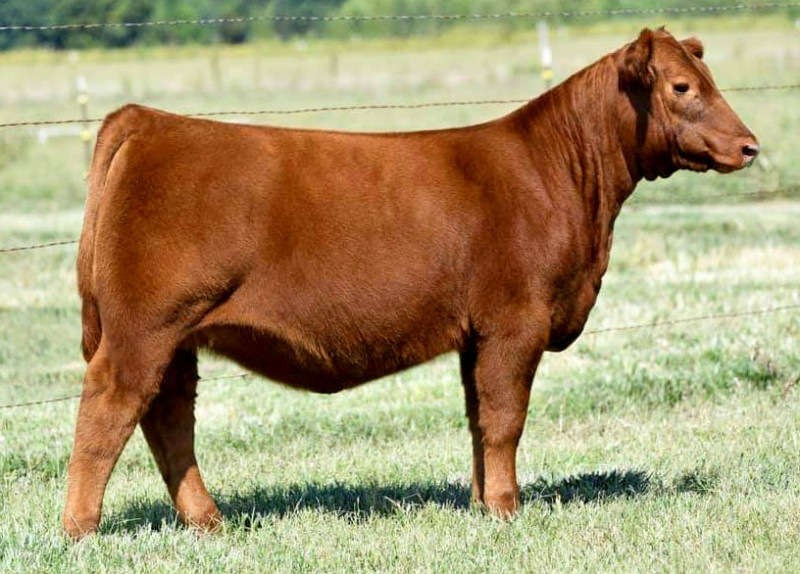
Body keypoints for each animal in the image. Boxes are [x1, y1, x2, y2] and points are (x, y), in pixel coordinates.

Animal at [63, 27, 759, 539]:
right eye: (682, 86)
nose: (751, 146)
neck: (562, 176)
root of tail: (151, 120)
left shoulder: (477, 333)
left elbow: (479, 419)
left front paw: (483, 503)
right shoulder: (516, 320)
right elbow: (506, 418)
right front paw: (507, 511)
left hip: (177, 338)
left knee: (167, 421)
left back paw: (208, 523)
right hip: (144, 328)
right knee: (109, 409)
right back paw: (80, 531)